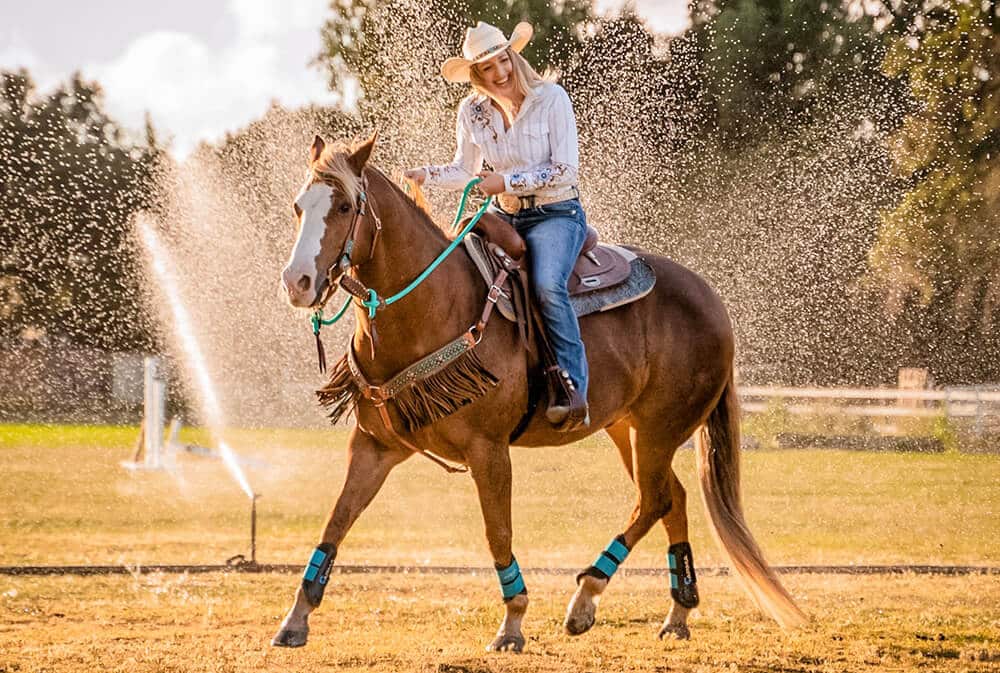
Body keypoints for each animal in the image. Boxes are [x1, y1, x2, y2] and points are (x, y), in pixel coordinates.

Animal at [273, 133, 807, 652]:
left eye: (345, 206)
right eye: (300, 206)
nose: (298, 283)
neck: (431, 307)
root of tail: (711, 300)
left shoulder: (488, 451)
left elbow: (498, 532)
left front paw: (512, 623)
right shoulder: (374, 446)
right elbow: (336, 521)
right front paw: (296, 619)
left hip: (660, 429)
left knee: (654, 500)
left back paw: (586, 598)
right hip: (627, 429)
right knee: (669, 496)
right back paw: (676, 613)